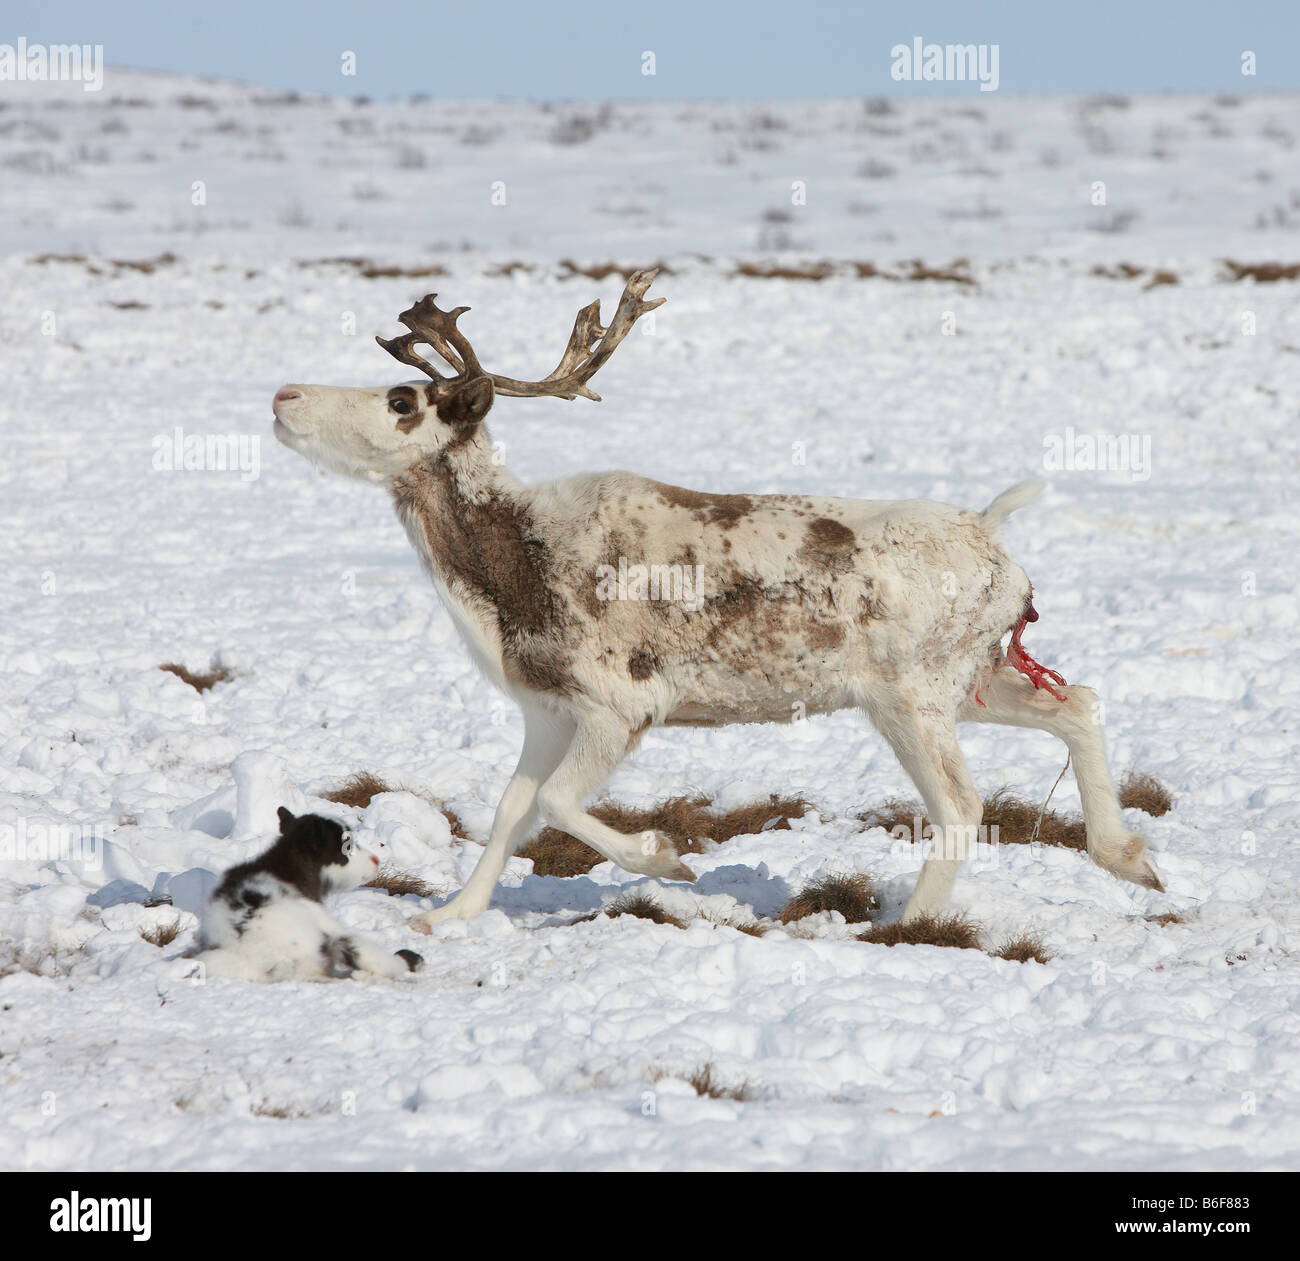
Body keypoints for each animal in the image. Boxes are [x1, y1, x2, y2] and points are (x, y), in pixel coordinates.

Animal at [272, 269, 1162, 933]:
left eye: (402, 401)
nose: (283, 396)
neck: (510, 562)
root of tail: (998, 542)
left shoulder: (622, 703)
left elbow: (556, 802)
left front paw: (667, 859)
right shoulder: (547, 710)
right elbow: (509, 810)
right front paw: (448, 914)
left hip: (910, 697)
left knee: (961, 803)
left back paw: (908, 923)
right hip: (969, 680)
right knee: (1078, 701)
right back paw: (1133, 860)